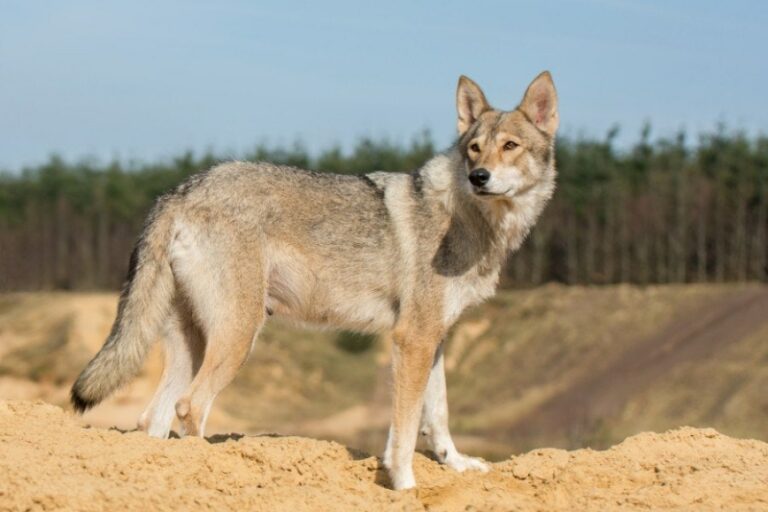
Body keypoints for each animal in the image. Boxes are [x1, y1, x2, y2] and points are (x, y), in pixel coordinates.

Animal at [70, 71, 559, 490]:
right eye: (474, 148)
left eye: (510, 146)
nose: (479, 177)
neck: (468, 219)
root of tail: (181, 189)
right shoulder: (411, 340)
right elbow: (403, 433)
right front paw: (404, 486)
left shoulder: (433, 341)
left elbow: (437, 418)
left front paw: (456, 465)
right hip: (239, 335)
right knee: (190, 407)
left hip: (194, 345)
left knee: (152, 418)